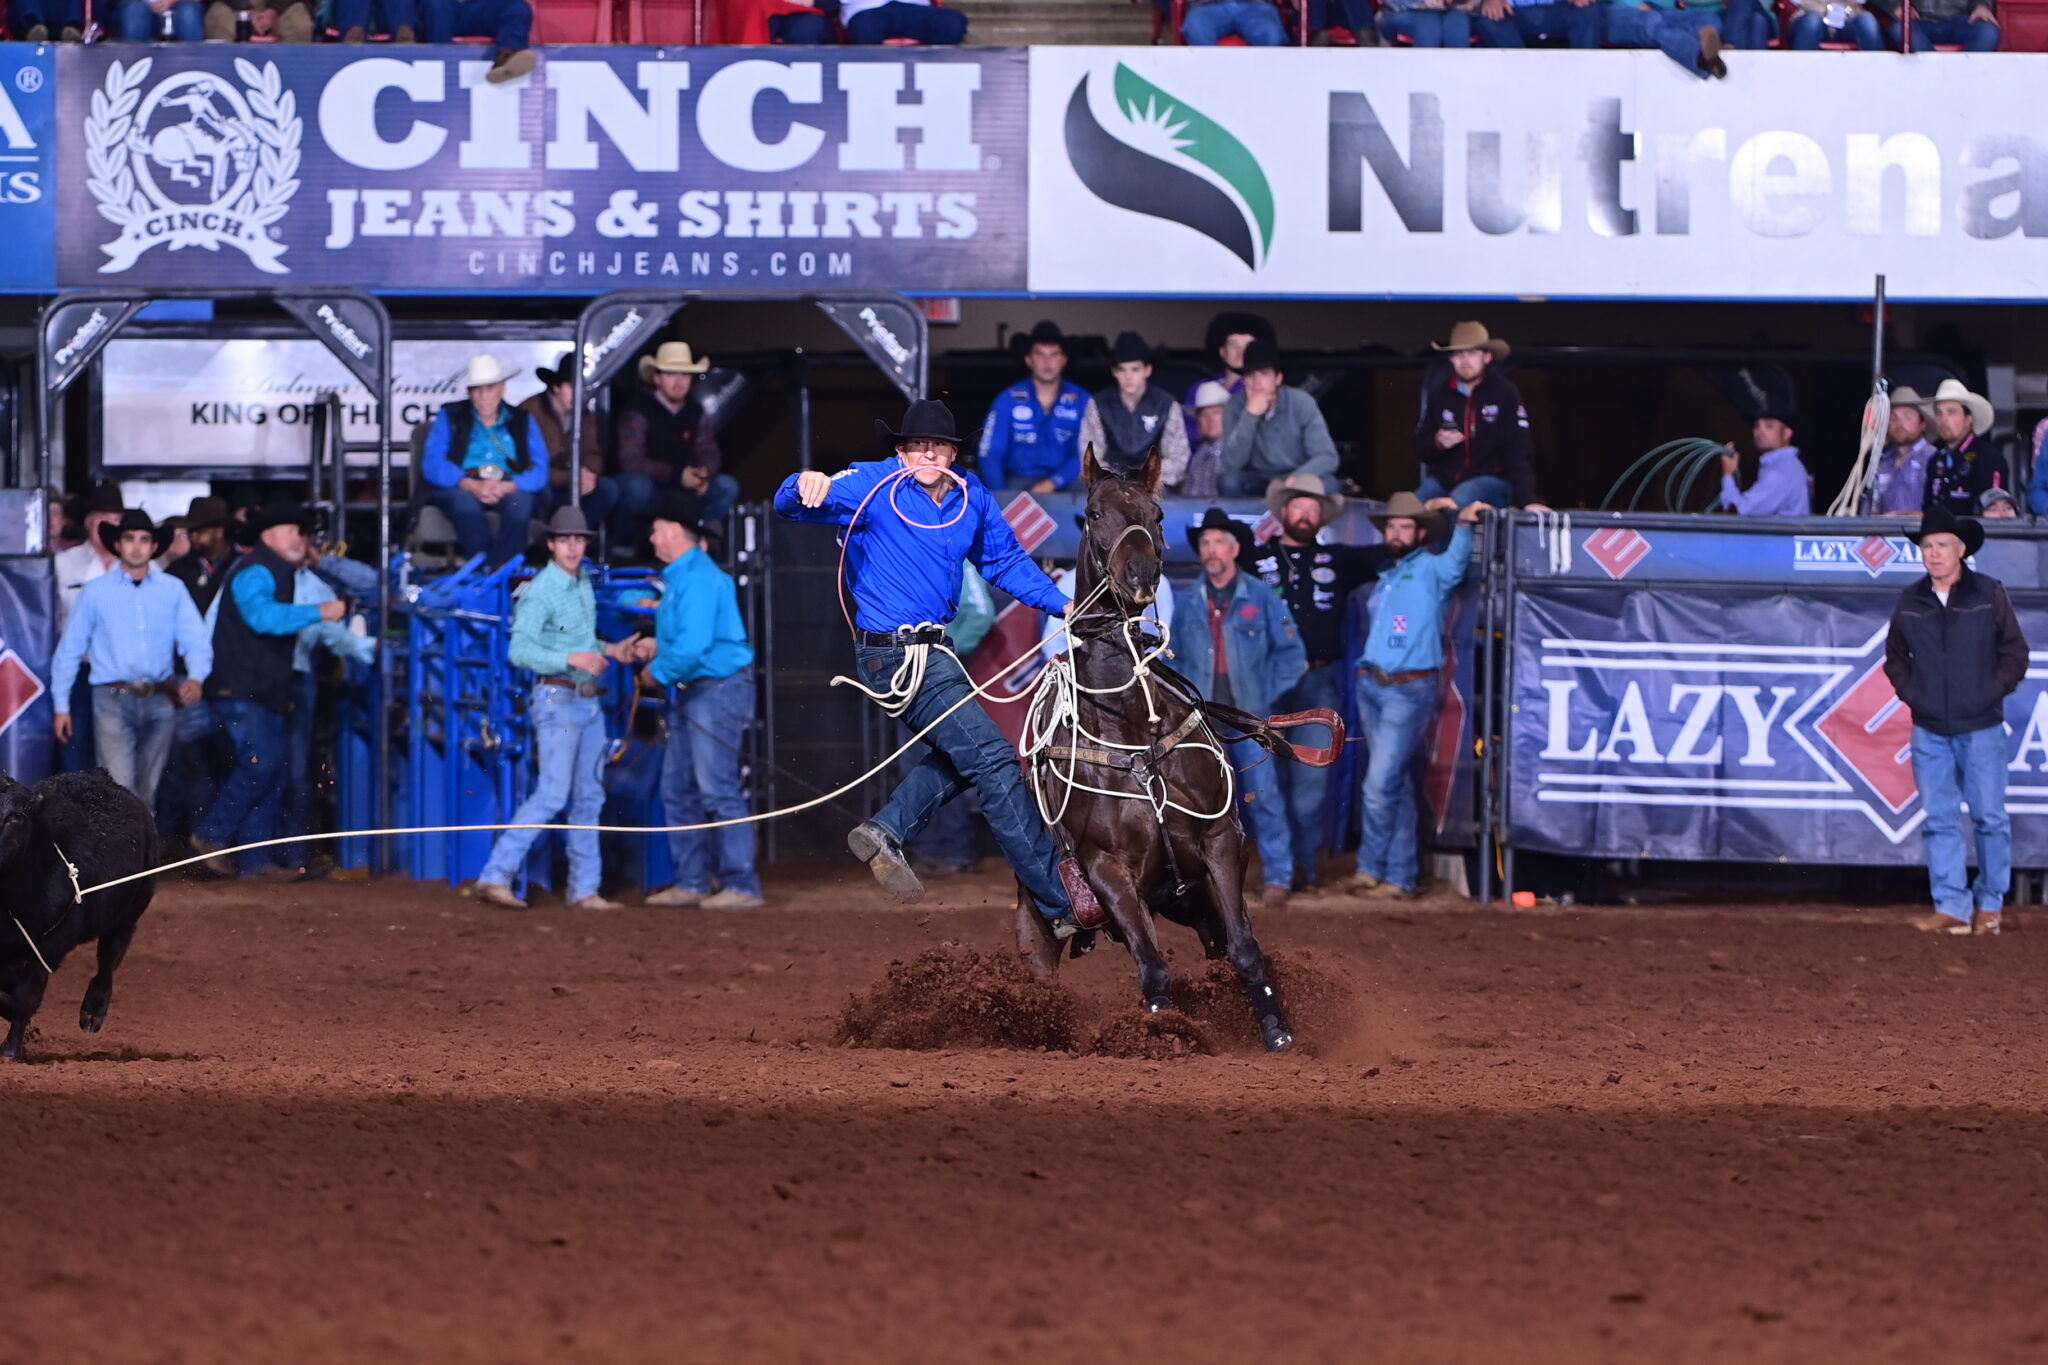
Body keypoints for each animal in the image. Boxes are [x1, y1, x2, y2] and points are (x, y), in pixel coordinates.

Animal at [0, 770, 157, 1062]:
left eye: (17, 816)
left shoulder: (52, 945)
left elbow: (26, 996)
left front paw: (11, 1050)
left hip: (128, 915)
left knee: (108, 961)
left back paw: (93, 1011)